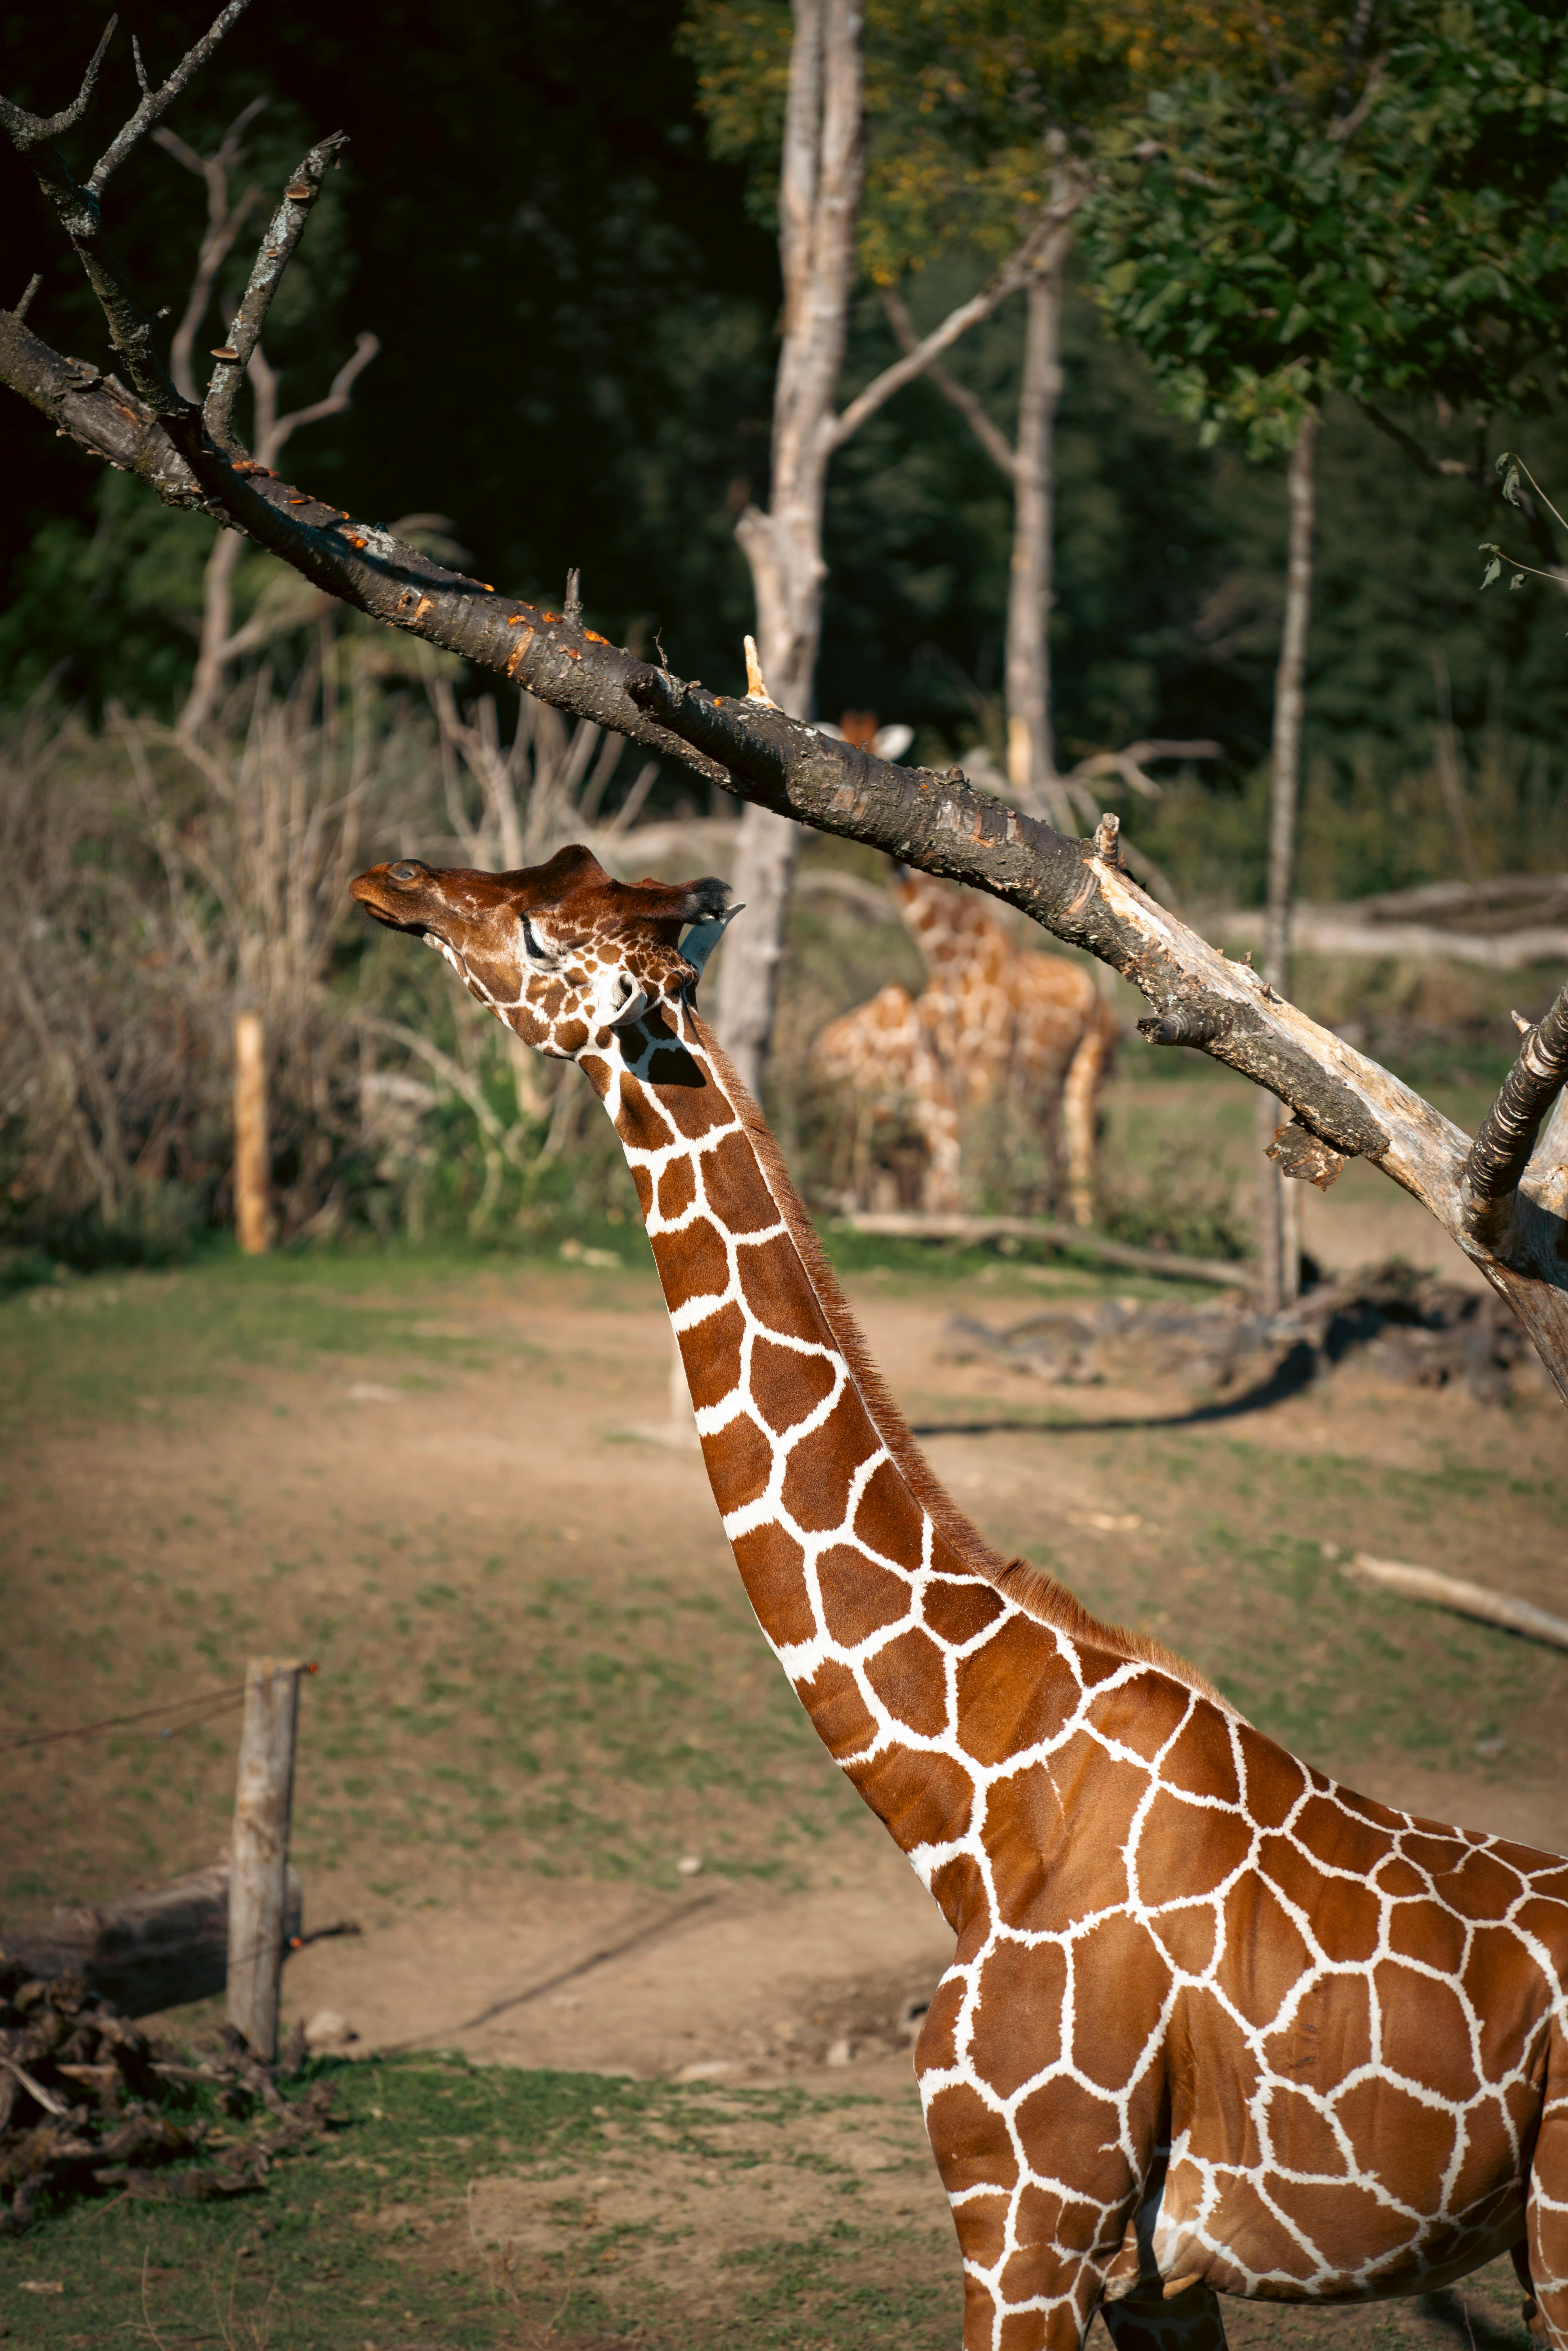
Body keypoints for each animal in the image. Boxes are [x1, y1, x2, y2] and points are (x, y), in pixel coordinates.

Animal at [815, 869, 1118, 1226]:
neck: (949, 957)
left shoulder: (986, 1064)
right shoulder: (948, 1066)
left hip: (1086, 1071)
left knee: (1082, 1147)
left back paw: (1083, 1223)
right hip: (1043, 1089)